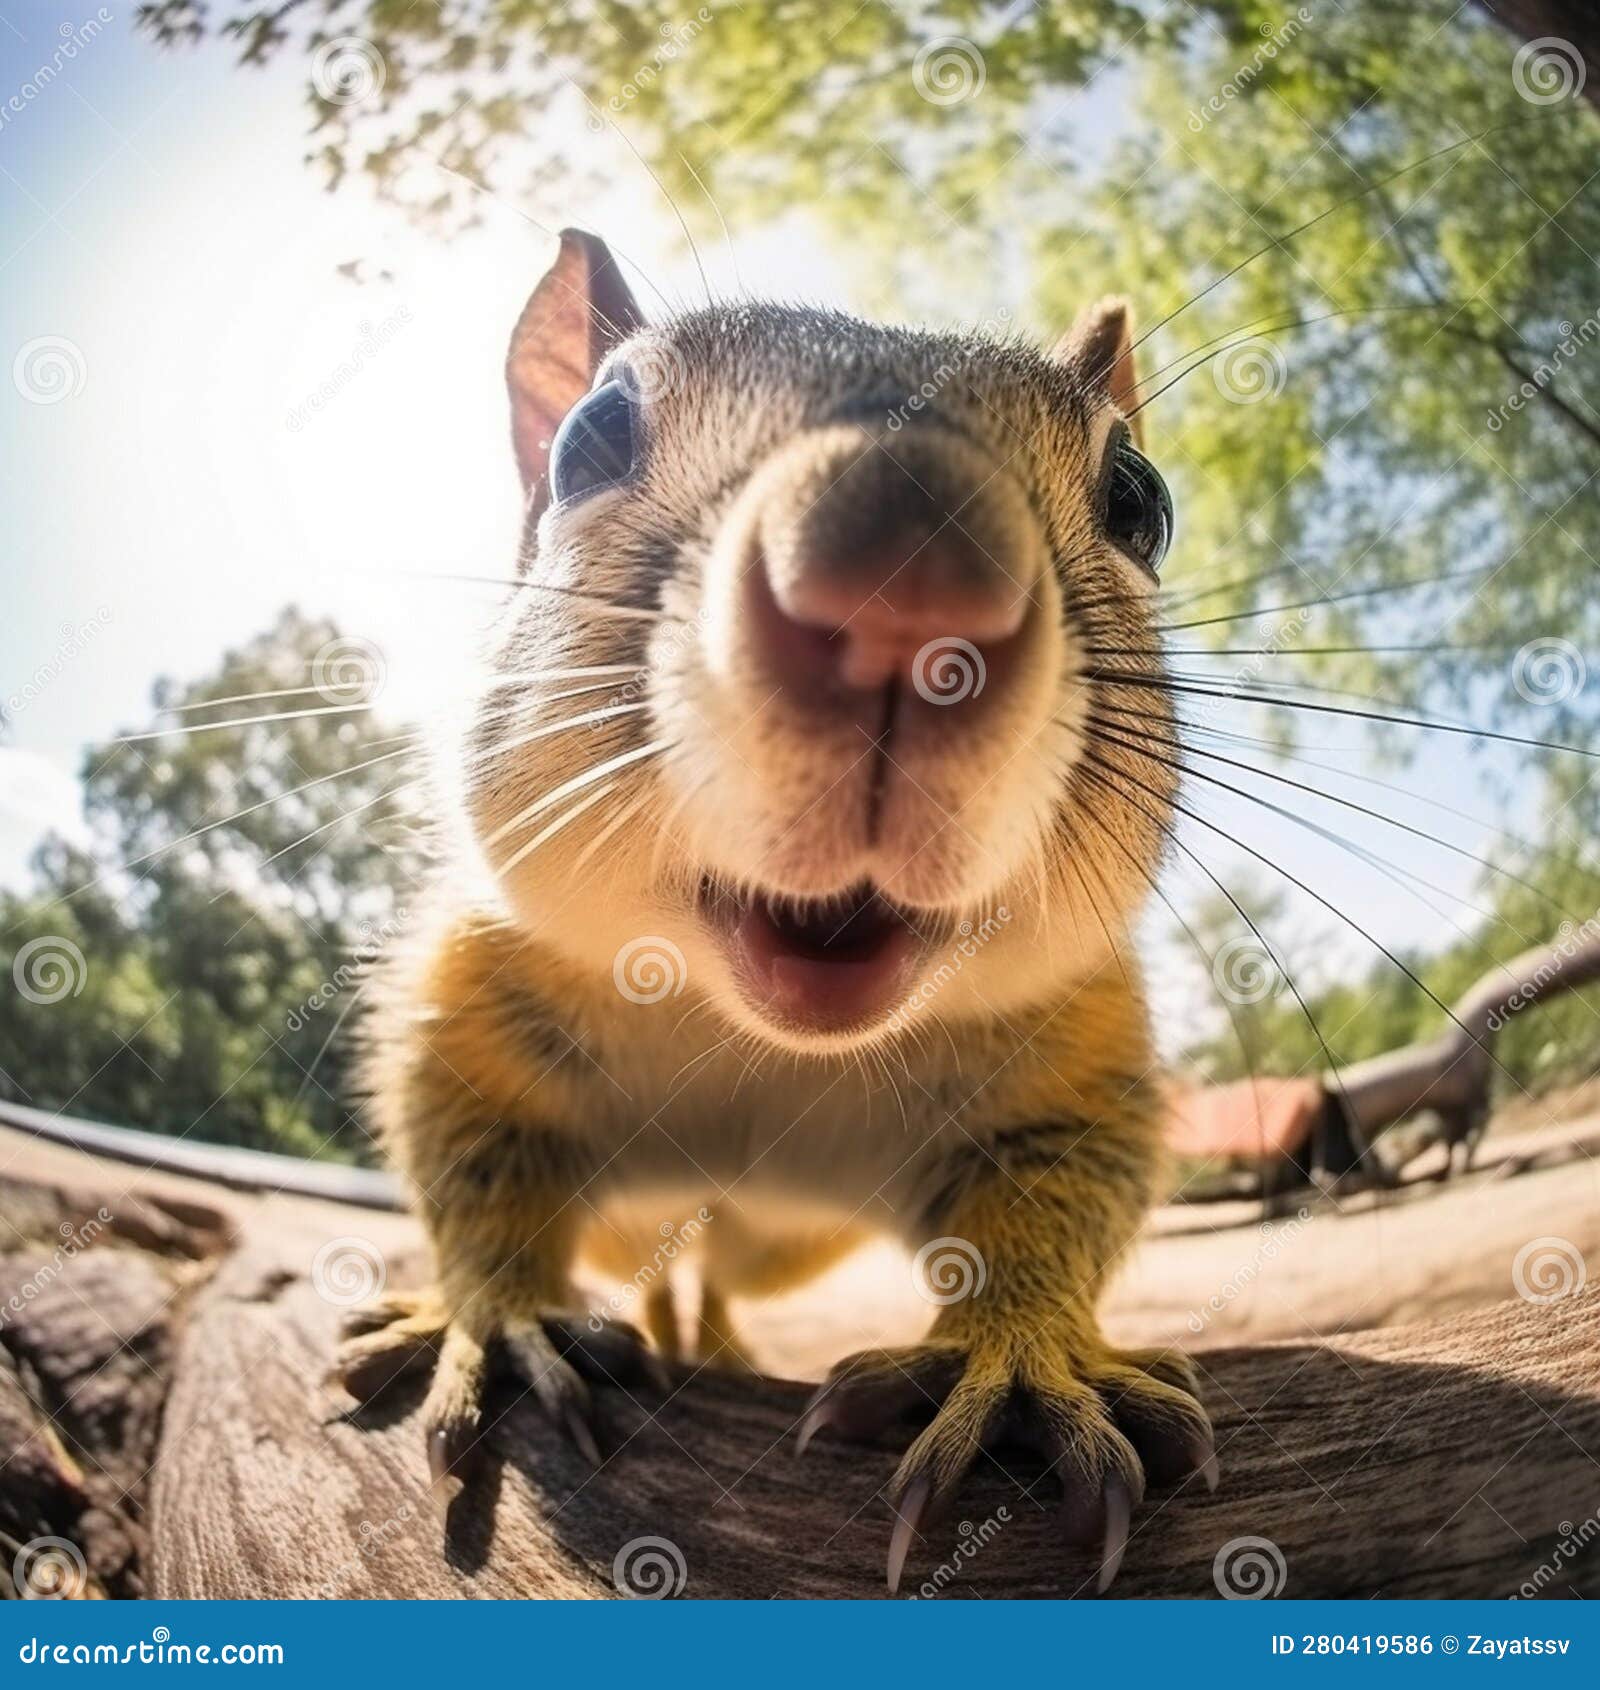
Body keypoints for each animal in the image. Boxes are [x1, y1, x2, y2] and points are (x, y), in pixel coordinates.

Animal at [335, 229, 1215, 1594]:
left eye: (1139, 499)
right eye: (590, 435)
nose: (908, 591)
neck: (759, 1038)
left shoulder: (1073, 1051)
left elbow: (1060, 1200)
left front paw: (1021, 1358)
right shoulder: (467, 988)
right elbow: (467, 1153)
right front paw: (497, 1318)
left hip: (782, 1242)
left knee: (717, 1272)